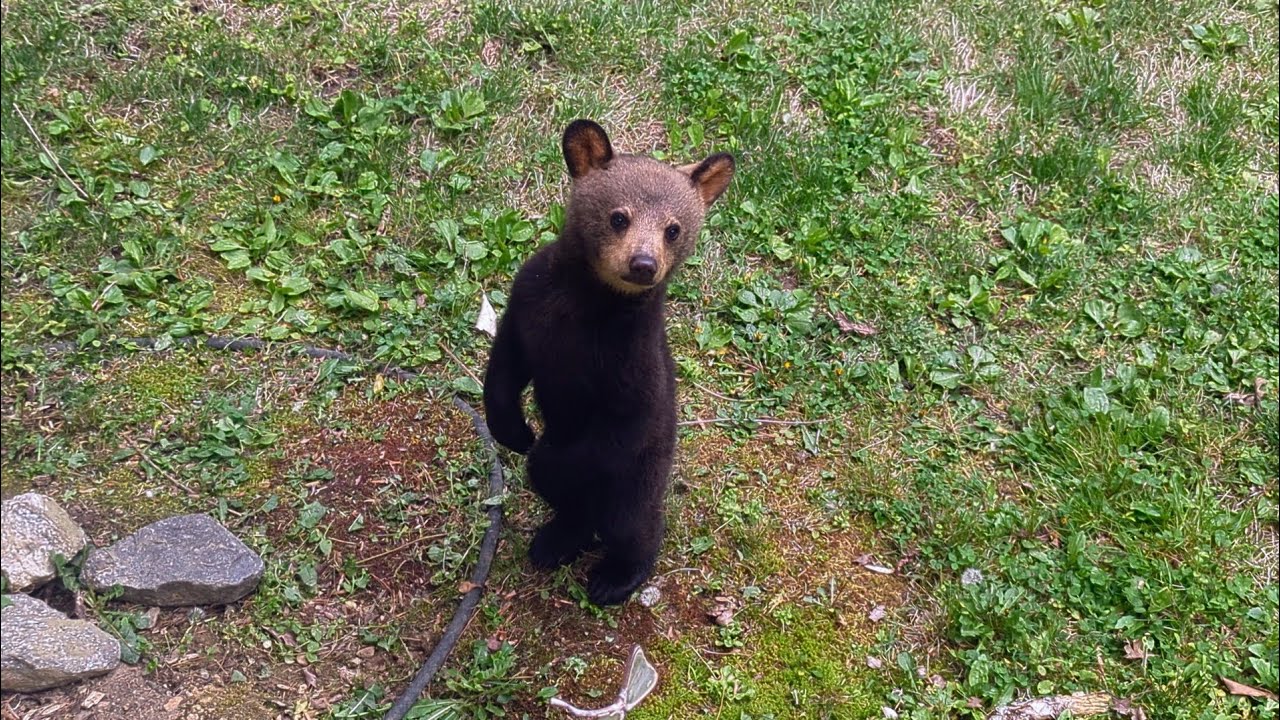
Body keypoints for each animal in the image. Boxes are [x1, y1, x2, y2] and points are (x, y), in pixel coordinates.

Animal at [482, 119, 735, 606]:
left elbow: (617, 430)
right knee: (580, 515)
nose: (643, 264)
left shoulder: (634, 366)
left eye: (673, 229)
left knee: (633, 526)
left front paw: (544, 456)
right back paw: (553, 542)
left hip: (640, 482)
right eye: (619, 217)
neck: (585, 309)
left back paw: (612, 578)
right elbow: (503, 371)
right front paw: (515, 434)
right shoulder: (525, 307)